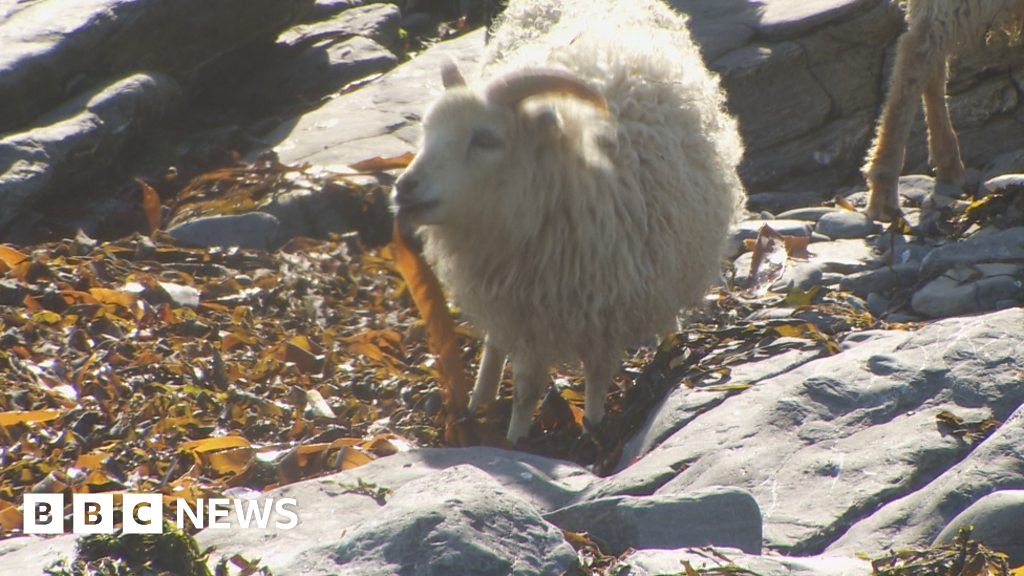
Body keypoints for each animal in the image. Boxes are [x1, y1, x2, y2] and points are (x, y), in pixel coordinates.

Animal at [392, 0, 745, 443]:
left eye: (486, 139)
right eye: (427, 131)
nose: (404, 188)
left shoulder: (609, 305)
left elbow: (596, 371)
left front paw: (592, 427)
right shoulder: (520, 304)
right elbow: (527, 385)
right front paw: (515, 439)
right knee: (494, 342)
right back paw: (479, 399)